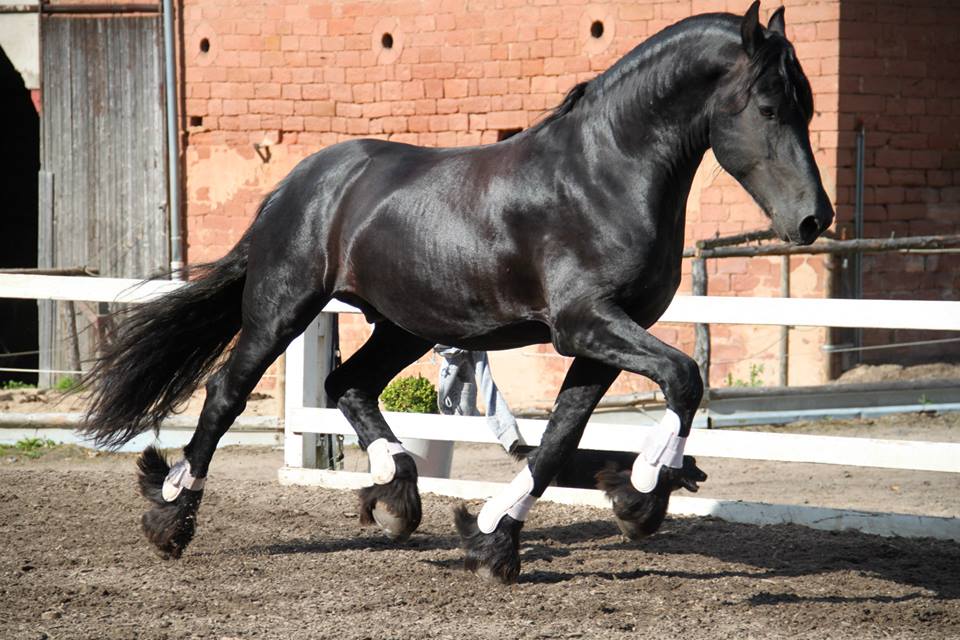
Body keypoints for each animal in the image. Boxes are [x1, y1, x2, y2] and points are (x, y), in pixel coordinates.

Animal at [80, 1, 833, 584]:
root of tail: (296, 183)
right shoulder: (586, 323)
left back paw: (395, 494)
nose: (813, 220)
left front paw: (497, 538)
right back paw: (171, 517)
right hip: (282, 307)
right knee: (226, 395)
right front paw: (643, 493)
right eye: (770, 106)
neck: (603, 174)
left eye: (808, 106)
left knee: (347, 384)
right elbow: (683, 376)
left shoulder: (599, 337)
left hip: (402, 324)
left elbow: (558, 439)